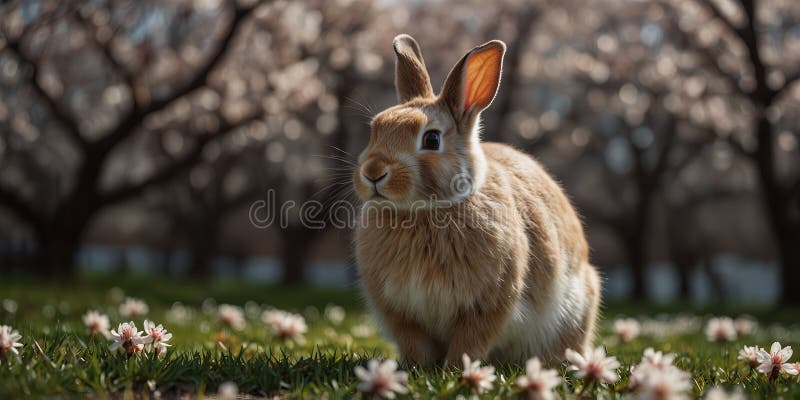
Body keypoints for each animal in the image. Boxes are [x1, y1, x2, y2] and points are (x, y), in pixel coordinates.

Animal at [353, 34, 601, 367]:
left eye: (431, 139)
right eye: (375, 130)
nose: (373, 172)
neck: (424, 211)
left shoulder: (488, 304)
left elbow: (469, 343)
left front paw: (455, 369)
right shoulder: (401, 313)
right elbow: (415, 344)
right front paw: (415, 369)